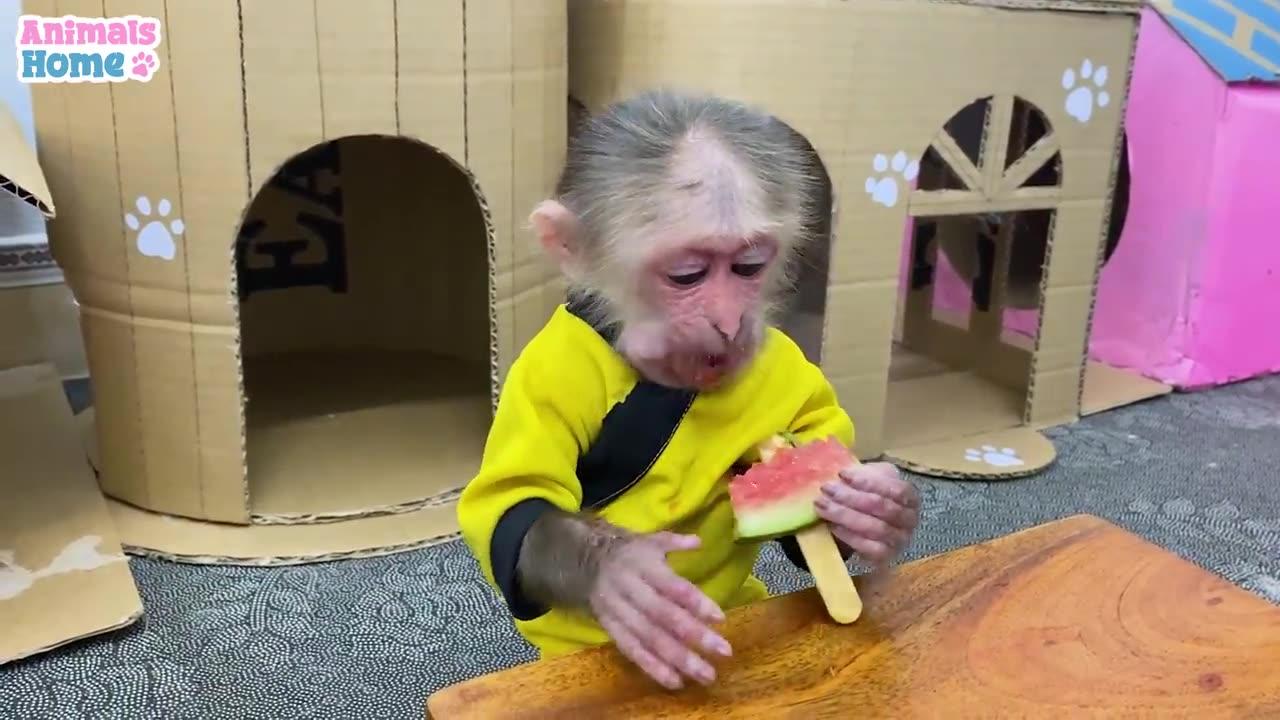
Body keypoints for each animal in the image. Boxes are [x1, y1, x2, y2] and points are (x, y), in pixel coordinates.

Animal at [455, 89, 921, 691]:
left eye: (749, 267)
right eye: (687, 276)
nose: (728, 322)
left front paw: (881, 510)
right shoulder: (548, 374)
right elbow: (516, 506)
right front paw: (619, 574)